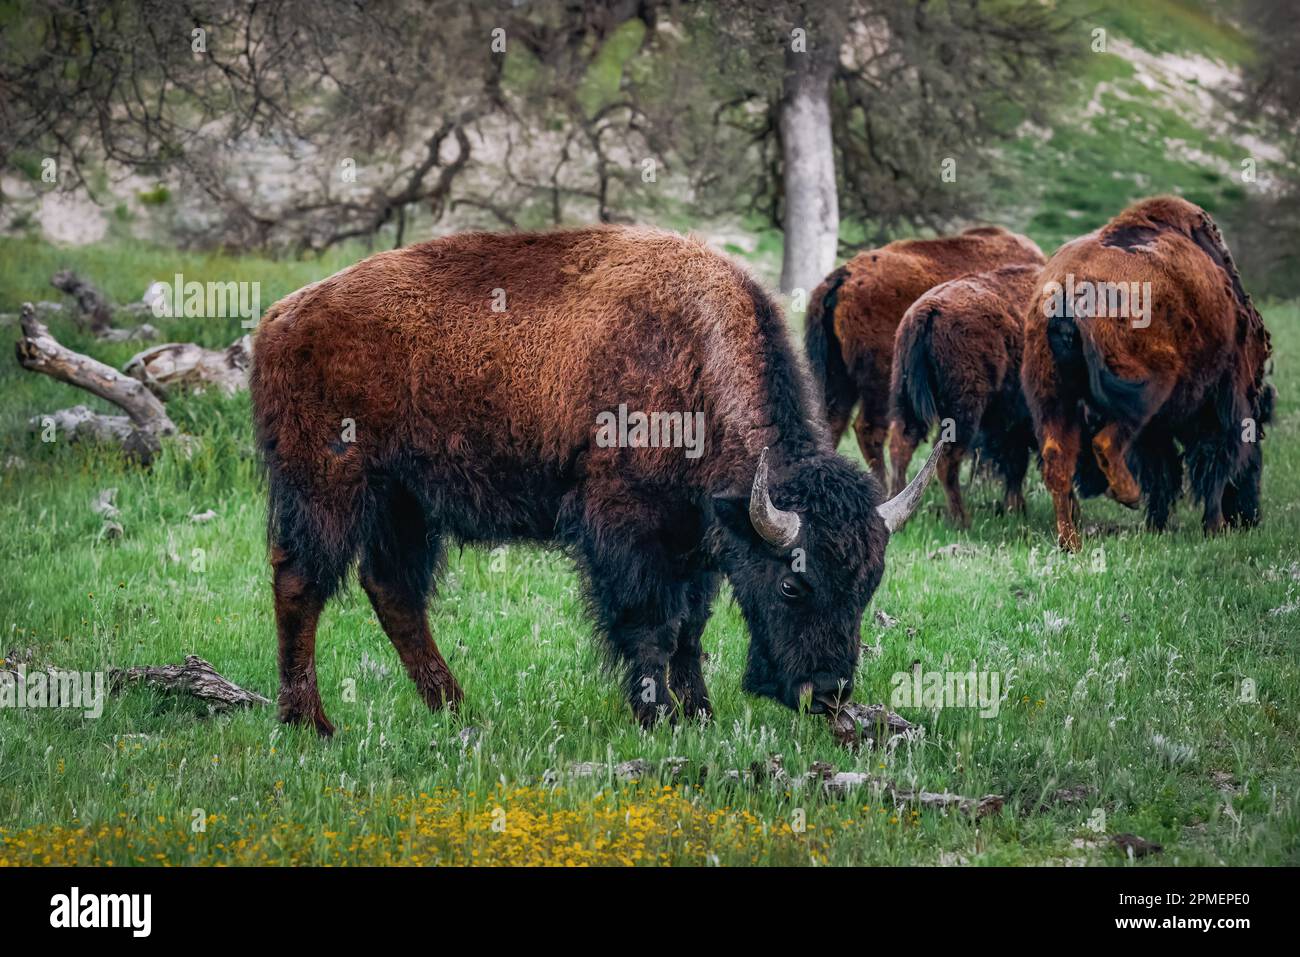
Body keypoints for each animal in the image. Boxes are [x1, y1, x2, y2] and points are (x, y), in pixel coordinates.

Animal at [250, 227, 942, 733]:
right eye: (793, 584)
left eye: (869, 585)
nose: (827, 691)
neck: (695, 360)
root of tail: (280, 319)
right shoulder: (628, 529)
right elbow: (652, 624)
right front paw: (657, 716)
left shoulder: (695, 540)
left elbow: (690, 628)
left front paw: (699, 713)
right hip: (330, 486)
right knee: (301, 582)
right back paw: (311, 723)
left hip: (404, 504)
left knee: (393, 592)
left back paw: (456, 708)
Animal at [889, 263, 1043, 526]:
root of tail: (927, 308)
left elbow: (1016, 464)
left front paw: (1016, 508)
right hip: (963, 412)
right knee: (946, 460)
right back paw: (961, 520)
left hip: (906, 398)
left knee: (902, 445)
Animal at [1021, 196, 1274, 551]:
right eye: (1257, 455)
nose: (1250, 518)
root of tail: (1068, 295)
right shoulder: (1222, 406)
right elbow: (1212, 466)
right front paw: (1214, 527)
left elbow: (1164, 472)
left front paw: (1157, 525)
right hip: (1150, 389)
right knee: (1107, 443)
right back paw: (1129, 496)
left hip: (1053, 398)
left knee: (1057, 463)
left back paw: (1071, 541)